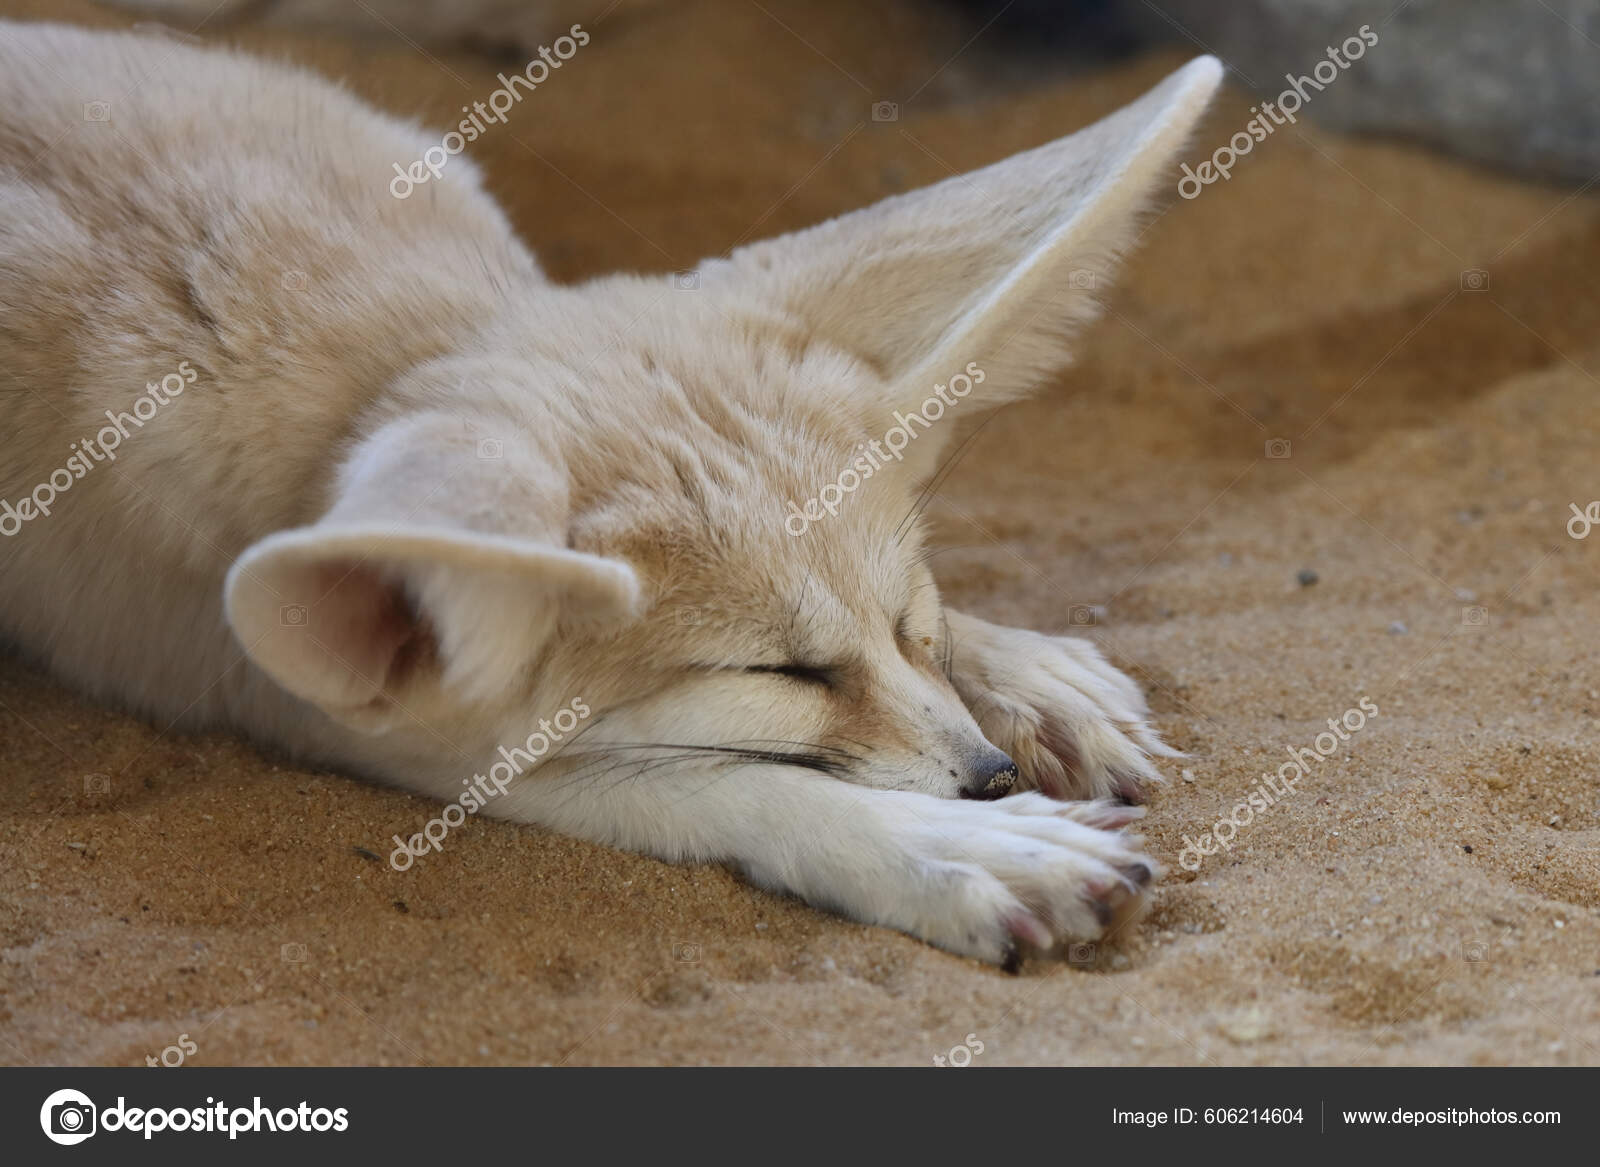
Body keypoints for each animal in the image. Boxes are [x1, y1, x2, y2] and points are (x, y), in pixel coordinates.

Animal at [0, 20, 1222, 968]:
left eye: (908, 620)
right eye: (777, 675)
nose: (989, 774)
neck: (386, 327)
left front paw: (1028, 675)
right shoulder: (290, 693)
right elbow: (718, 785)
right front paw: (962, 847)